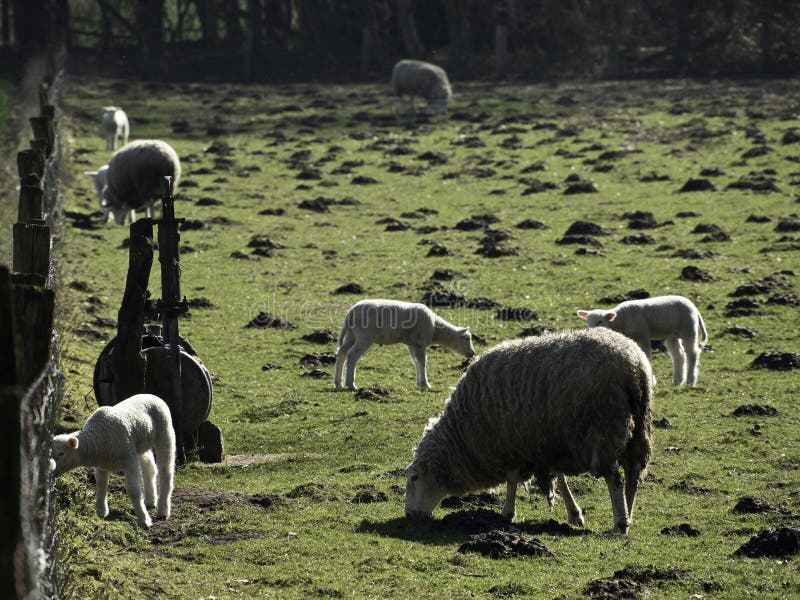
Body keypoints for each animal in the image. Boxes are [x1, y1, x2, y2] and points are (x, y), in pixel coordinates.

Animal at [50, 393, 176, 529]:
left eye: (61, 453)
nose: (51, 473)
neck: (96, 439)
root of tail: (151, 395)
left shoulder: (130, 462)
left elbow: (133, 491)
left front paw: (144, 520)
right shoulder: (101, 466)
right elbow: (101, 485)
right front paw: (101, 511)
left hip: (165, 434)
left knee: (165, 472)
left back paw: (163, 510)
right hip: (139, 445)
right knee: (149, 468)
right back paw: (150, 501)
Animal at [334, 299, 475, 391]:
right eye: (467, 338)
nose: (473, 353)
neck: (435, 328)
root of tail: (350, 313)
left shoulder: (412, 344)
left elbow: (416, 361)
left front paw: (419, 383)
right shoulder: (420, 342)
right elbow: (422, 361)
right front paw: (426, 384)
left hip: (352, 334)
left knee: (342, 353)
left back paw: (338, 383)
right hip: (365, 336)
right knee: (352, 355)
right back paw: (350, 384)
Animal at [405, 328, 653, 534]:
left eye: (414, 478)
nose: (409, 515)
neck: (464, 432)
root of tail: (633, 365)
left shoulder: (512, 441)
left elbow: (513, 477)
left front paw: (507, 512)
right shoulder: (546, 440)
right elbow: (559, 477)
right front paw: (574, 514)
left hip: (604, 428)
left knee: (615, 478)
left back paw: (620, 523)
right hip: (639, 428)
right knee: (632, 476)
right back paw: (628, 515)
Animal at [577, 295, 708, 386]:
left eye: (600, 321)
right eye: (587, 322)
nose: (591, 331)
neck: (620, 320)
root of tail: (694, 307)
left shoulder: (643, 336)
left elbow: (646, 356)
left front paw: (651, 381)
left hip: (689, 329)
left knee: (692, 354)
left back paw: (690, 380)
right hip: (672, 335)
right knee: (678, 356)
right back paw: (677, 381)